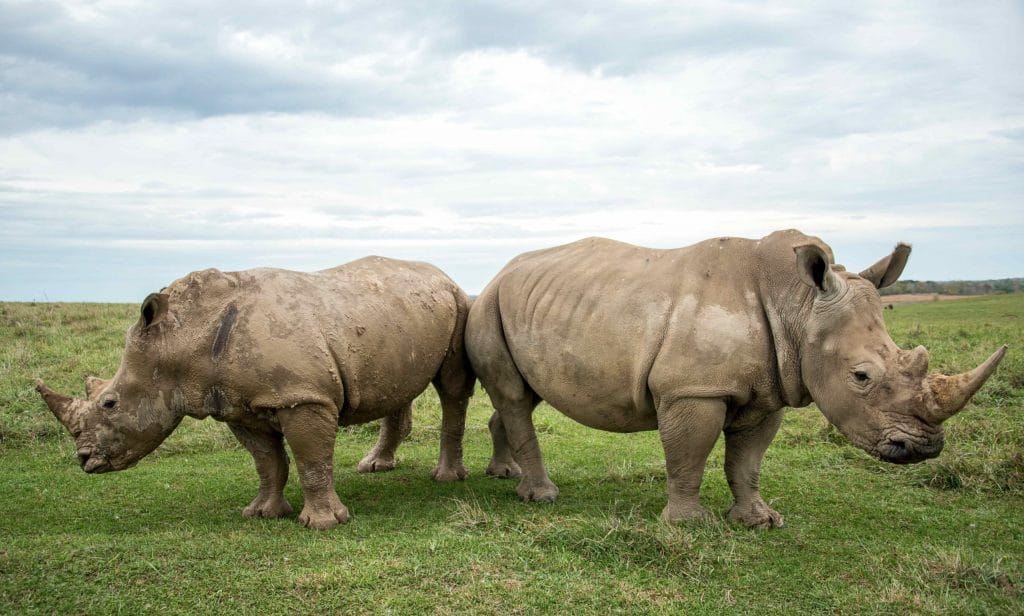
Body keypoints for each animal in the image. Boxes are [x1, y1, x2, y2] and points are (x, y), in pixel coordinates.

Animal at [37, 257, 475, 529]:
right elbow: (267, 461)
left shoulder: (302, 395)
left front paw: (323, 524)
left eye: (110, 403)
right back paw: (374, 466)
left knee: (451, 389)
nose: (85, 460)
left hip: (457, 303)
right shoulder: (235, 406)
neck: (182, 339)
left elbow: (312, 459)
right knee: (398, 387)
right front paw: (262, 513)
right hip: (398, 316)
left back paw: (446, 479)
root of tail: (441, 274)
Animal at [465, 230, 1007, 528]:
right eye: (860, 377)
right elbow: (689, 456)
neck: (798, 304)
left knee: (524, 396)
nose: (924, 448)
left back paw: (505, 475)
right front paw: (689, 525)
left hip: (524, 306)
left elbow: (747, 462)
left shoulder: (770, 391)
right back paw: (542, 497)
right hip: (487, 305)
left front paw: (760, 522)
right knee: (515, 398)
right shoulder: (693, 389)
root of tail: (497, 273)